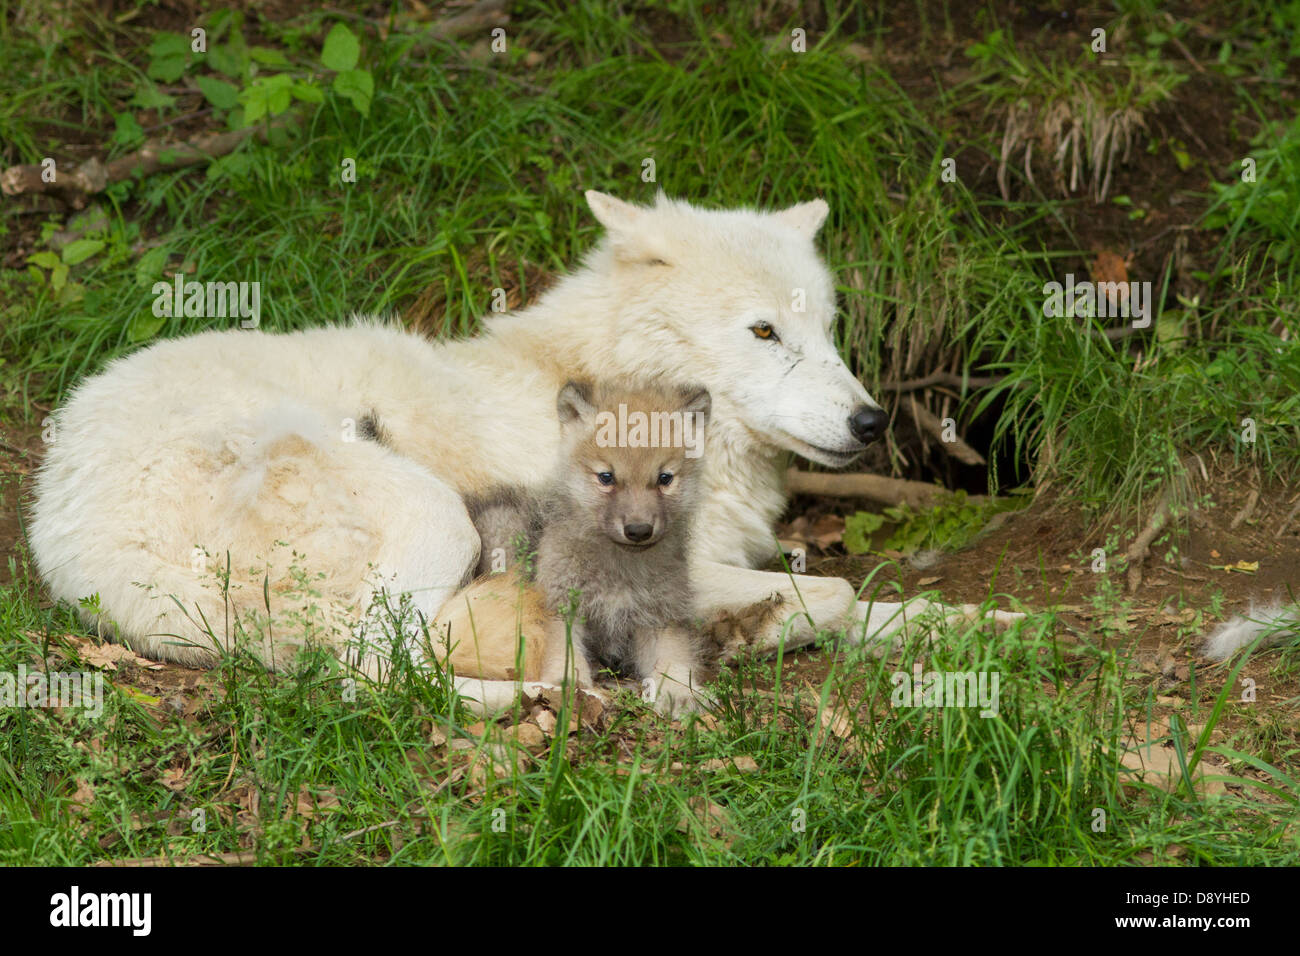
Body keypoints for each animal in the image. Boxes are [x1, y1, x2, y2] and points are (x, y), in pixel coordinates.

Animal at [28, 190, 1014, 710]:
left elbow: (888, 607)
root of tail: (67, 531)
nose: (871, 423)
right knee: (371, 675)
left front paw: (998, 628)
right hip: (433, 516)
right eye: (766, 331)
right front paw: (762, 631)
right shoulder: (647, 567)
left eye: (831, 332)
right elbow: (838, 594)